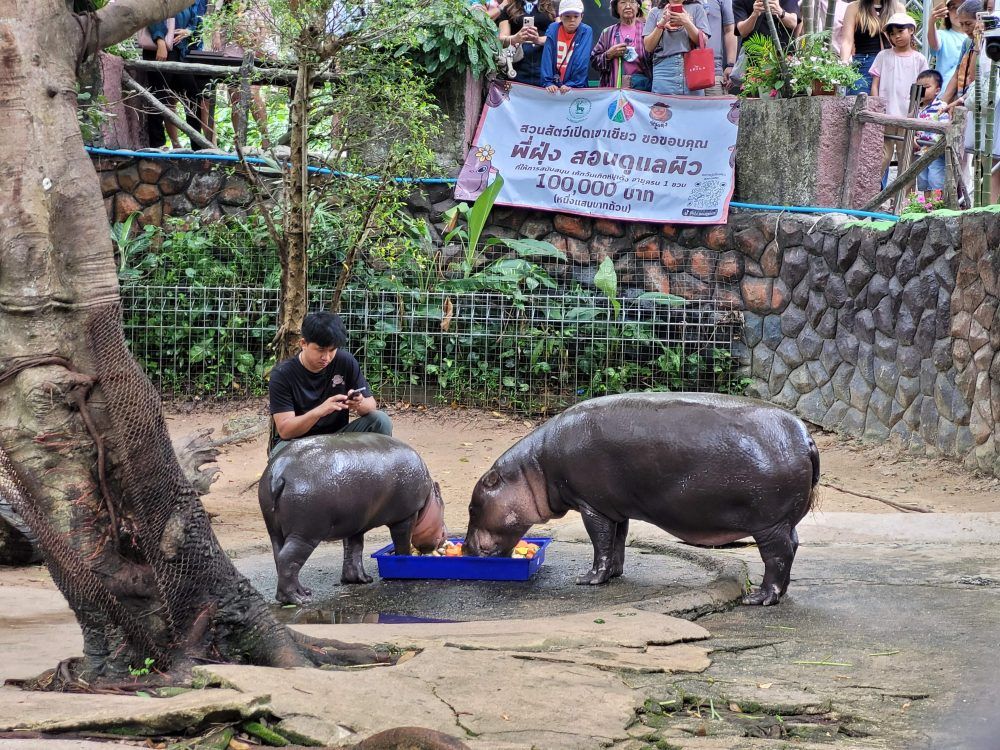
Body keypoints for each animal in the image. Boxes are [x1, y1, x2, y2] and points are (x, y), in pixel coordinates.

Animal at [259, 433, 446, 605]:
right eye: (443, 509)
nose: (444, 536)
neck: (429, 497)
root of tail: (278, 472)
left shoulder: (355, 524)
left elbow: (353, 550)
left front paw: (361, 580)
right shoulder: (406, 517)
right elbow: (402, 542)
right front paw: (405, 563)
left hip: (275, 531)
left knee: (280, 558)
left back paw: (303, 592)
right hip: (305, 533)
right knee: (287, 560)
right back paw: (299, 599)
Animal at [464, 393, 819, 606]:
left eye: (472, 505)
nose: (465, 549)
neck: (533, 469)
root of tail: (806, 438)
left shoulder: (591, 506)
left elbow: (600, 543)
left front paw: (589, 579)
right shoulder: (614, 507)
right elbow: (616, 541)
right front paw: (613, 574)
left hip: (769, 525)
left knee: (778, 557)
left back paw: (758, 598)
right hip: (783, 523)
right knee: (793, 546)